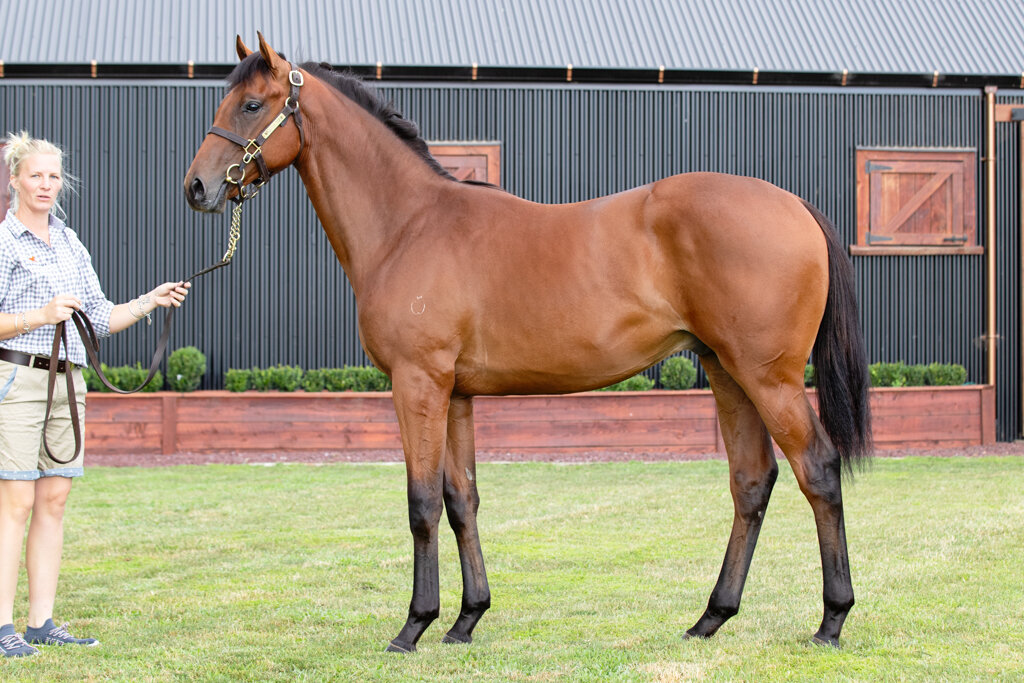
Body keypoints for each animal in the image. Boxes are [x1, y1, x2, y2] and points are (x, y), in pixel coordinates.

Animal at [184, 34, 872, 652]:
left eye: (251, 105)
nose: (197, 188)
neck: (409, 226)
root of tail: (794, 205)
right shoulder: (456, 394)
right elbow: (462, 499)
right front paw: (466, 620)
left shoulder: (417, 383)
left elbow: (421, 502)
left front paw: (413, 627)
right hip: (728, 373)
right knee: (752, 481)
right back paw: (711, 618)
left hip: (768, 377)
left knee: (818, 470)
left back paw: (831, 620)